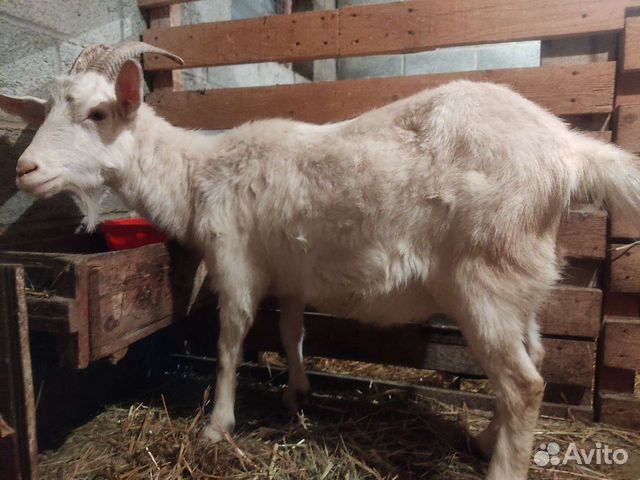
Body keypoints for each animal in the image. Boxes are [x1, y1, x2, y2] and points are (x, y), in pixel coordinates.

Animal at [2, 42, 640, 480]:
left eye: (98, 114)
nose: (25, 169)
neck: (197, 170)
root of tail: (566, 150)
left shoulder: (234, 259)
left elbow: (231, 341)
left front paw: (216, 427)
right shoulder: (291, 272)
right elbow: (291, 331)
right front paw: (298, 392)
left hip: (485, 277)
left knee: (524, 385)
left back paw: (502, 466)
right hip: (520, 279)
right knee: (534, 361)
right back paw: (486, 440)